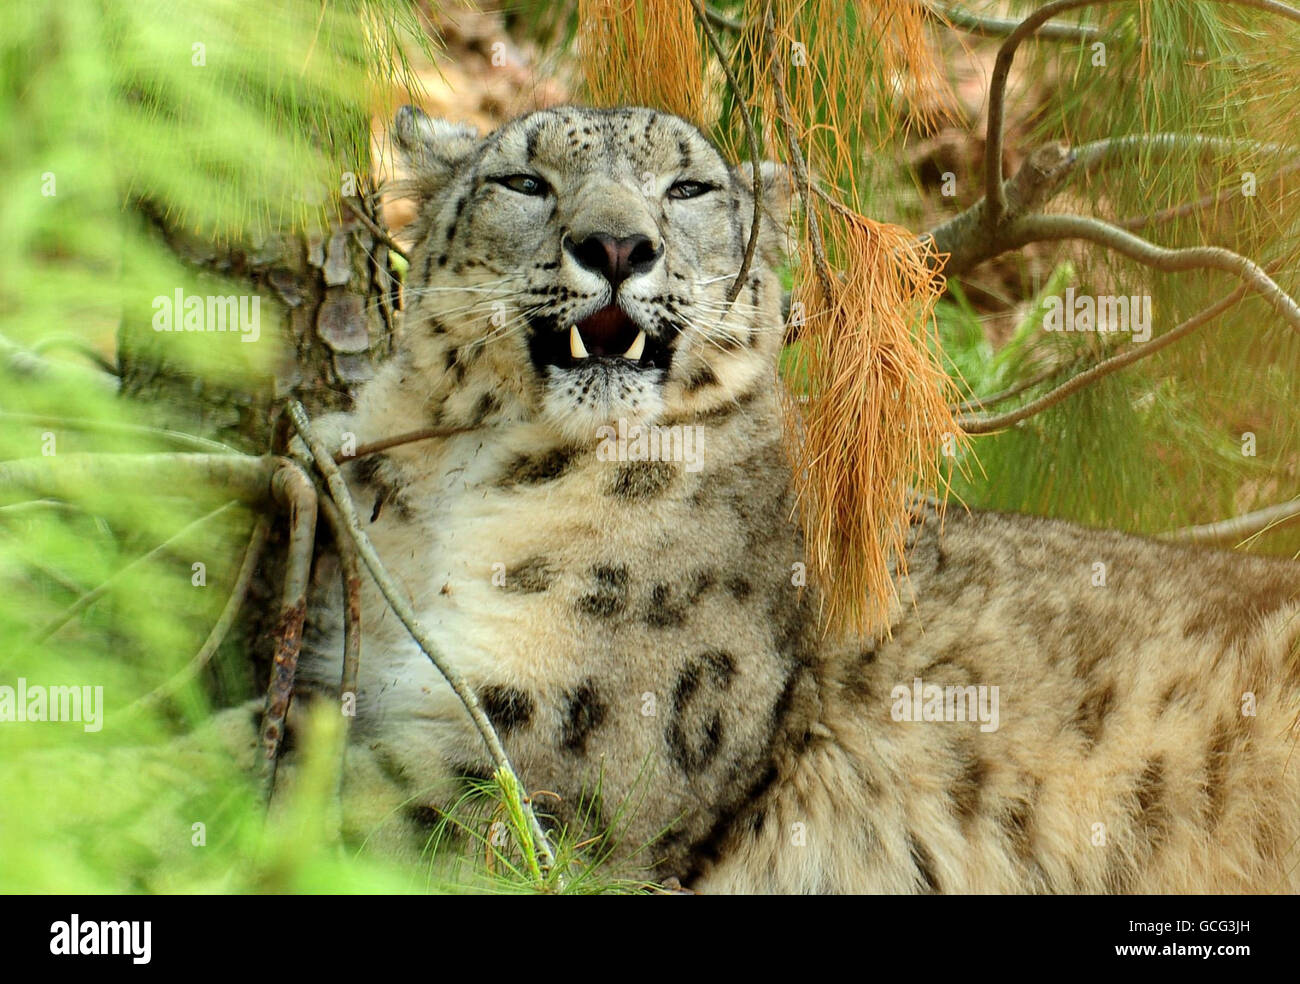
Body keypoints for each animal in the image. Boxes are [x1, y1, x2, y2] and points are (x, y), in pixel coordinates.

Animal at [283, 103, 1300, 893]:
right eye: (524, 181)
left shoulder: (545, 749)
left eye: (687, 190)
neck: (457, 494)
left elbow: (327, 816)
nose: (616, 245)